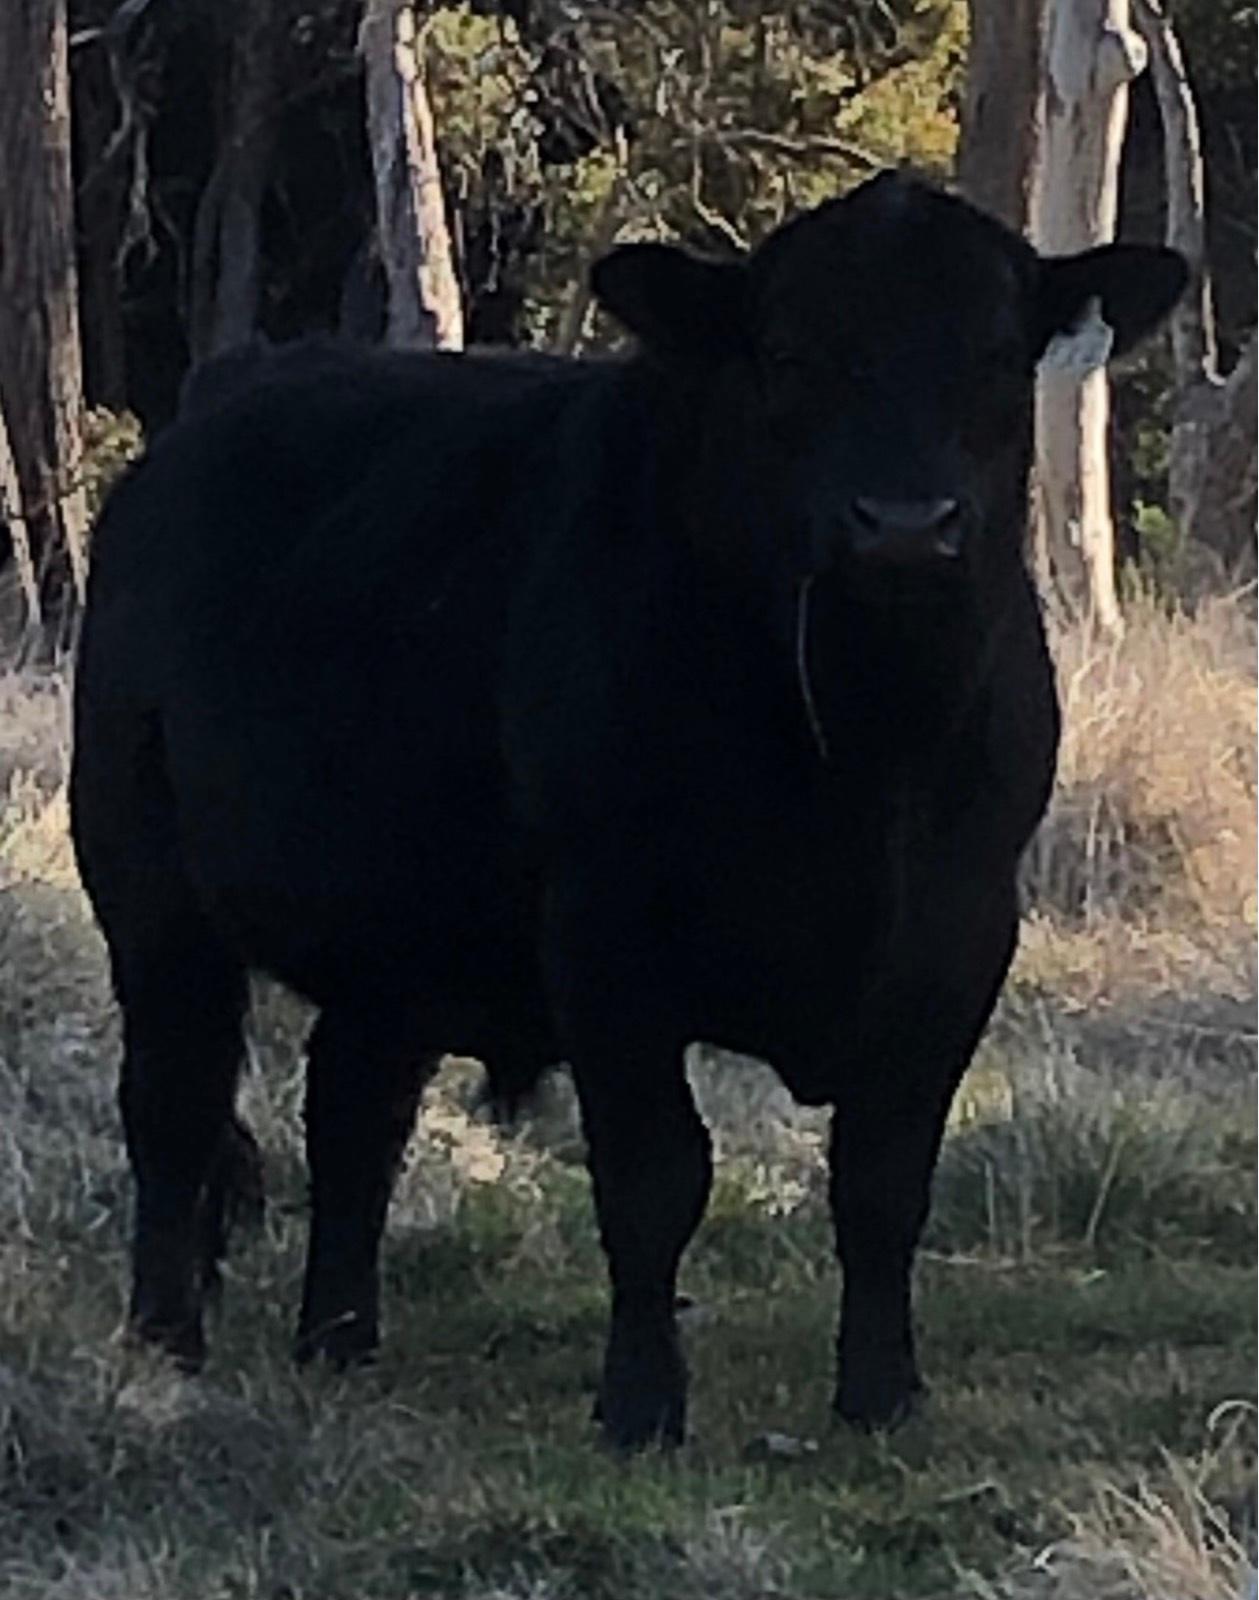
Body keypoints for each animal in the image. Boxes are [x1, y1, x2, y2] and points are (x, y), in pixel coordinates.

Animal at [70, 172, 1186, 1450]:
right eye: (787, 352)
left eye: (1001, 355)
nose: (904, 525)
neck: (861, 748)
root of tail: (227, 391)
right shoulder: (607, 934)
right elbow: (656, 1177)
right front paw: (641, 1403)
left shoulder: (958, 937)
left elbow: (882, 1177)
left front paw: (881, 1393)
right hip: (148, 885)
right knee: (175, 1102)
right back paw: (164, 1347)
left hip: (392, 931)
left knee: (354, 1110)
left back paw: (340, 1339)